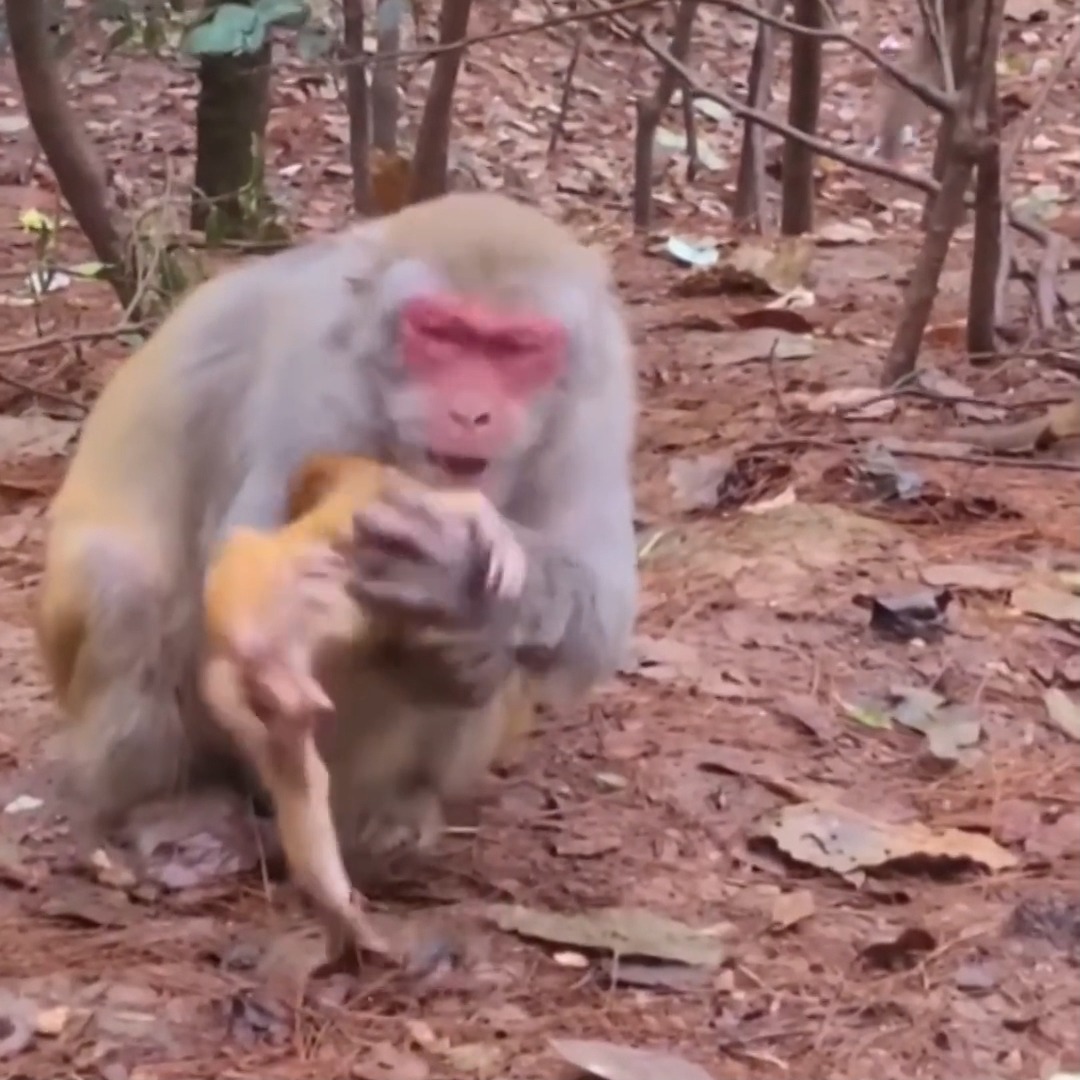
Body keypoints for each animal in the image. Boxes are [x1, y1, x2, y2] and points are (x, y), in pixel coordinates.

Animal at [36, 190, 638, 899]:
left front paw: (469, 604)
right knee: (126, 588)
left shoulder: (600, 401)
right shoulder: (317, 368)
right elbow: (245, 568)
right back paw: (174, 806)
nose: (471, 412)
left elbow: (601, 609)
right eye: (442, 334)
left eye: (516, 349)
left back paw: (390, 810)